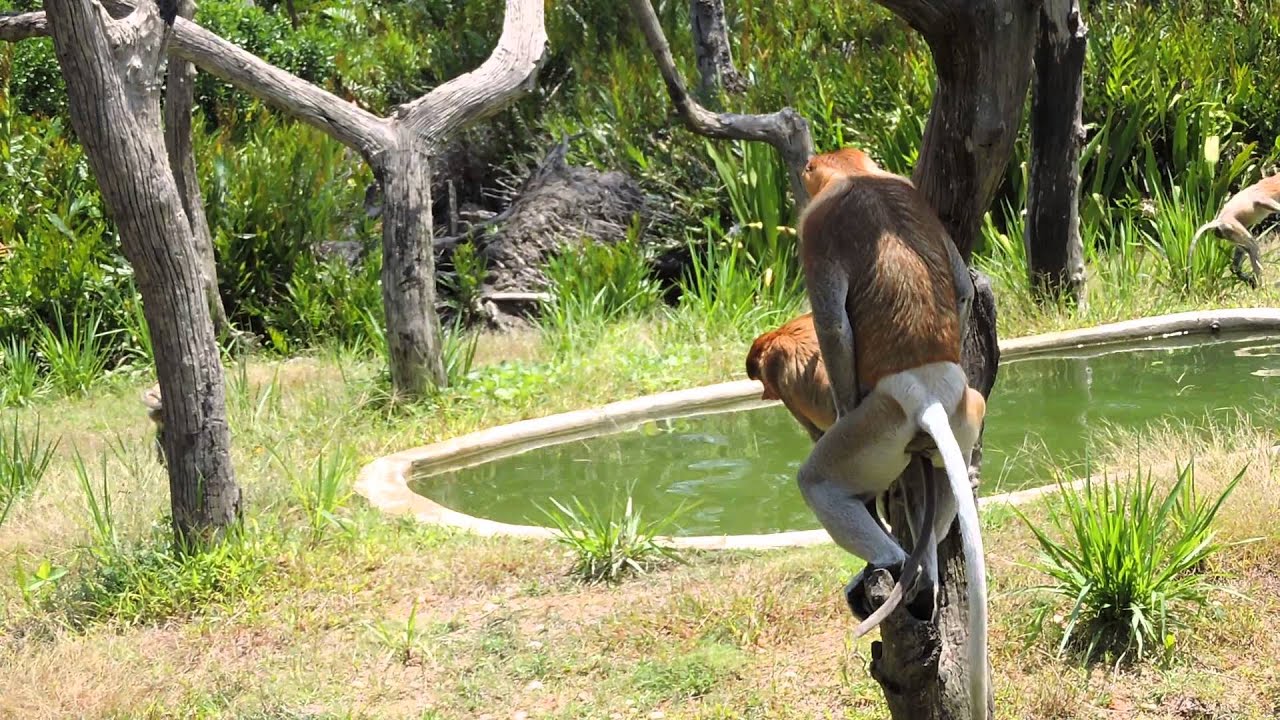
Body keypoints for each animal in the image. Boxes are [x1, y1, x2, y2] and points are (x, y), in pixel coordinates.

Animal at [794, 147, 989, 719]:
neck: (858, 175)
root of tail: (924, 395)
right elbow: (963, 286)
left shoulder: (815, 231)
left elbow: (833, 328)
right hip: (964, 408)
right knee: (948, 472)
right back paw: (924, 575)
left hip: (876, 426)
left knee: (818, 482)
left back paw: (894, 566)